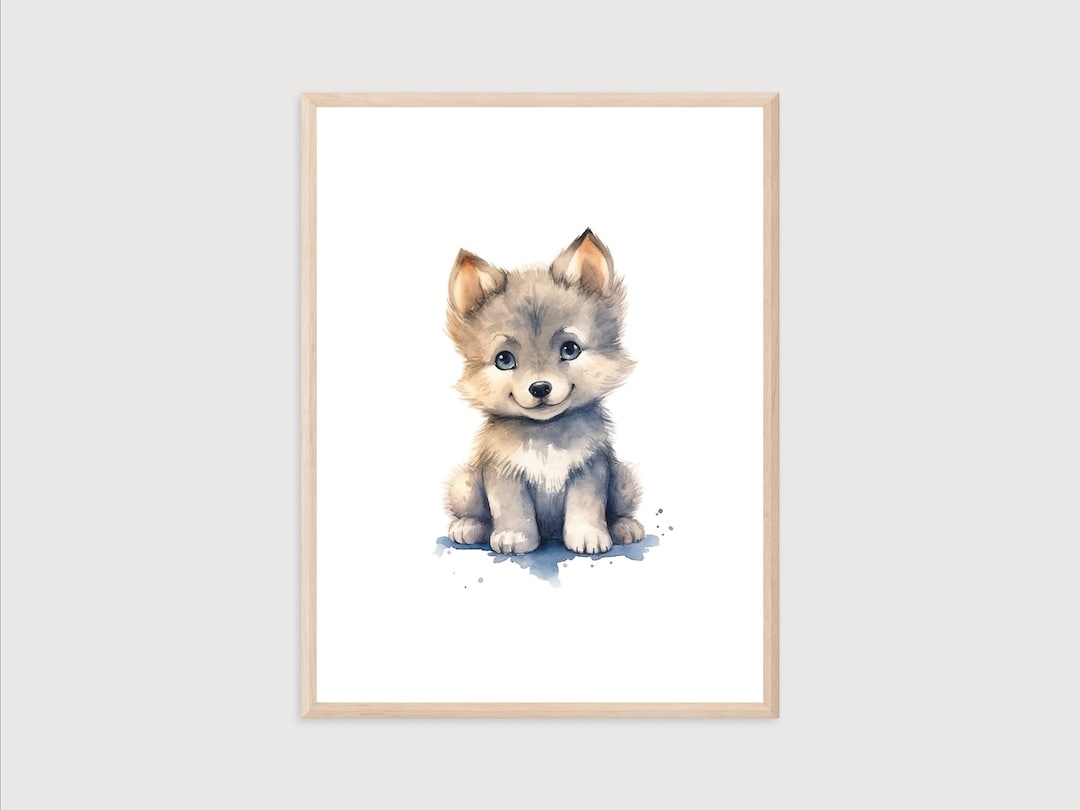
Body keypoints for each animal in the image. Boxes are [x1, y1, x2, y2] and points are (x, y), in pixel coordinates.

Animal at [444, 229, 645, 555]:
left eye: (570, 349)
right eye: (504, 360)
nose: (539, 387)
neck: (545, 434)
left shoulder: (591, 468)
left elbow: (585, 507)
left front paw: (588, 536)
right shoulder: (503, 473)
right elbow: (512, 509)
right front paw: (513, 537)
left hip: (625, 481)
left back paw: (625, 527)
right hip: (463, 485)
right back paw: (469, 528)